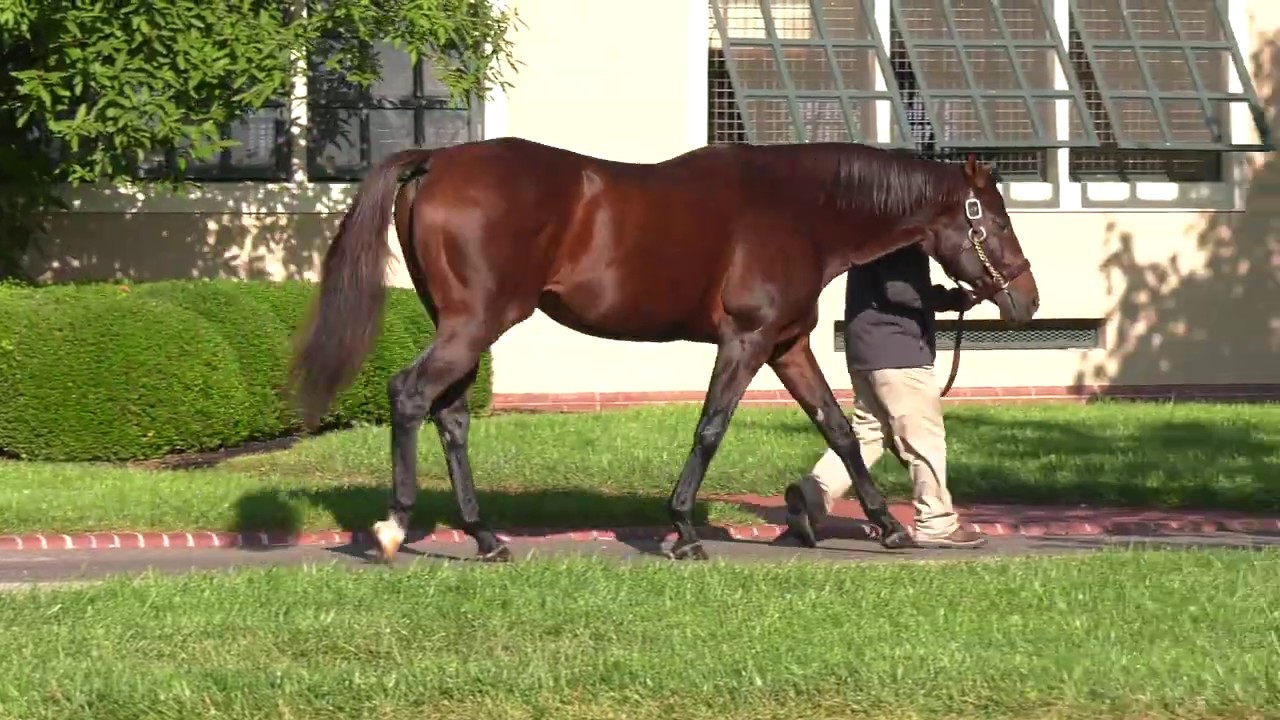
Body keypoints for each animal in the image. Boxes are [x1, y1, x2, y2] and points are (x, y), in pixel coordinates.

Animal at [287, 137, 1039, 564]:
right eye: (996, 221)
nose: (1026, 300)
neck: (800, 210)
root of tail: (436, 160)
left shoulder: (787, 344)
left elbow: (838, 429)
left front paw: (887, 527)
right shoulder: (746, 338)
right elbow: (711, 427)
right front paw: (683, 531)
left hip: (460, 324)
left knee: (450, 415)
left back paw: (486, 537)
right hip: (475, 322)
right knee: (411, 394)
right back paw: (395, 527)